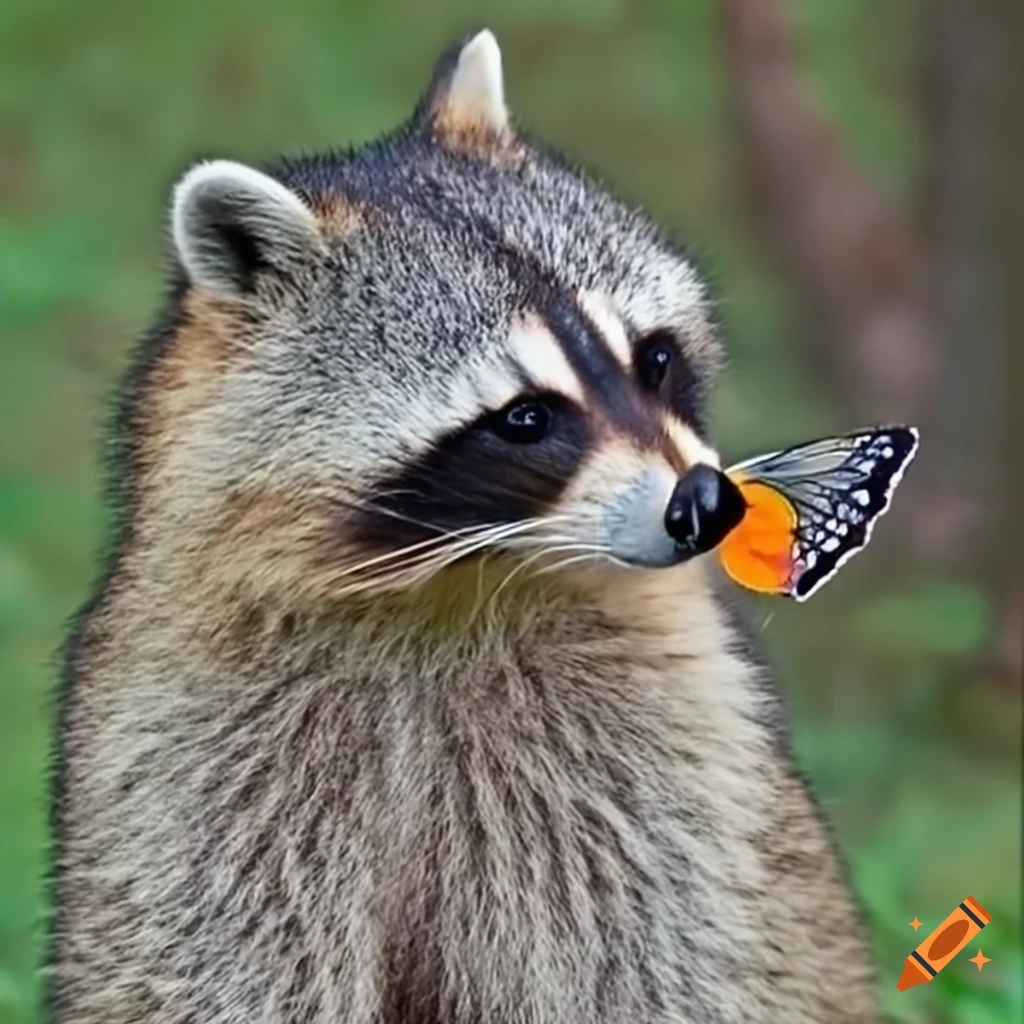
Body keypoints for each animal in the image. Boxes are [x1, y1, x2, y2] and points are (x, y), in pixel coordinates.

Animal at [49, 29, 880, 1024]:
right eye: (525, 418)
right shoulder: (200, 754)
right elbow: (225, 964)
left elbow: (658, 961)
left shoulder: (653, 764)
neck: (453, 583)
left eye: (653, 359)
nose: (708, 505)